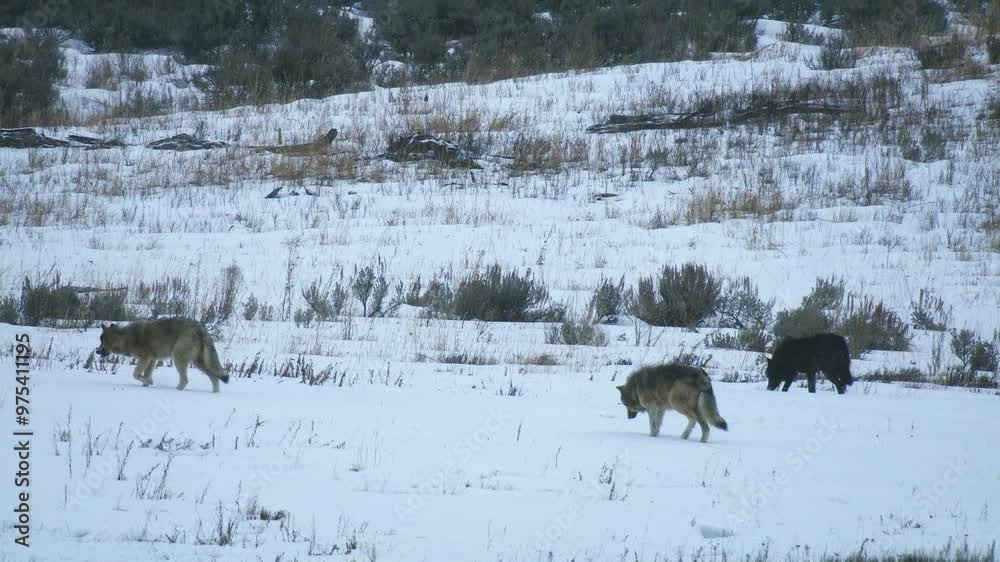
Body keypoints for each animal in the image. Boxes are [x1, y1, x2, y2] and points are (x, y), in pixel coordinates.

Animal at [96, 317, 230, 393]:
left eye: (104, 342)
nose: (97, 351)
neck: (127, 337)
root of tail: (201, 328)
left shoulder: (146, 357)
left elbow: (136, 374)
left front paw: (150, 383)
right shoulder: (152, 359)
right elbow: (145, 375)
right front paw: (146, 384)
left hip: (178, 358)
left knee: (185, 380)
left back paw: (176, 391)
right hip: (199, 363)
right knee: (215, 378)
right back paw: (215, 395)